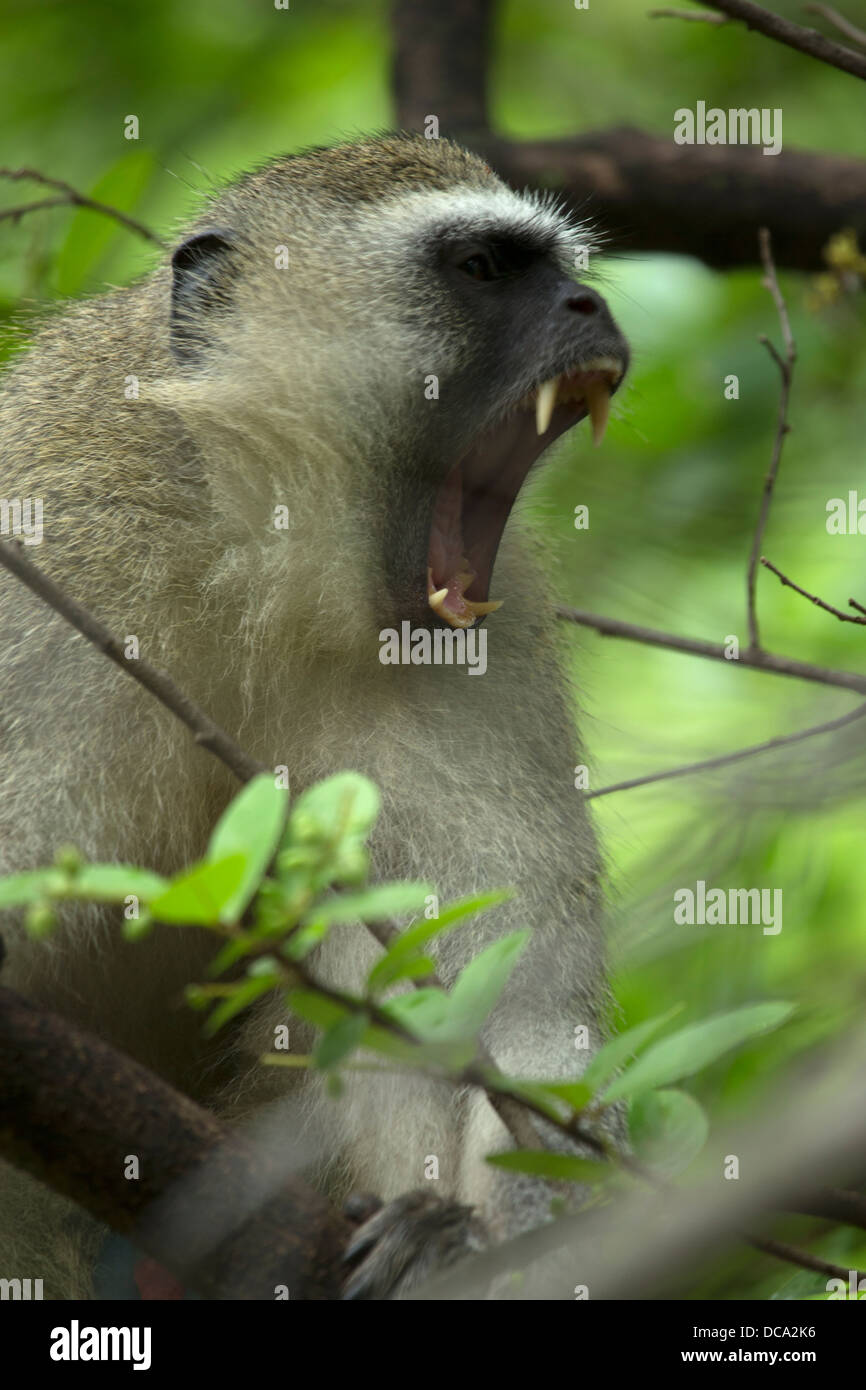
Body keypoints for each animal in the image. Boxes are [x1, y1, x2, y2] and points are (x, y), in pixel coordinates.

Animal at [0, 133, 628, 1299]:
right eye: (482, 268)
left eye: (560, 271)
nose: (591, 303)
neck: (255, 550)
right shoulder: (50, 557)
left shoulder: (492, 641)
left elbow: (516, 998)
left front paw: (509, 1239)